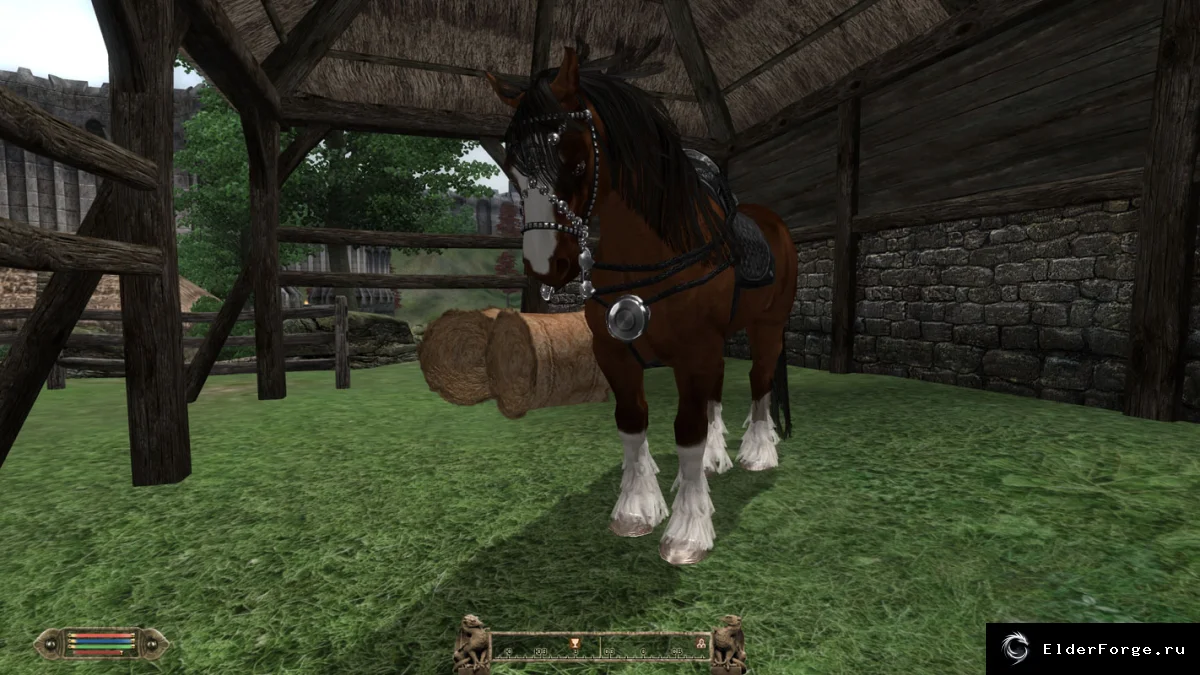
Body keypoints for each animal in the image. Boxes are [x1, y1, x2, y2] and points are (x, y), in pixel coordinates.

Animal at [486, 46, 798, 565]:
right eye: (514, 171)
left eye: (576, 162)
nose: (545, 263)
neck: (654, 250)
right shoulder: (615, 353)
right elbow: (632, 424)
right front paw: (637, 509)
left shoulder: (693, 351)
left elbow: (687, 430)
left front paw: (687, 532)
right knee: (718, 389)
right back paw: (717, 459)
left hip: (767, 326)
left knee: (759, 379)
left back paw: (757, 454)